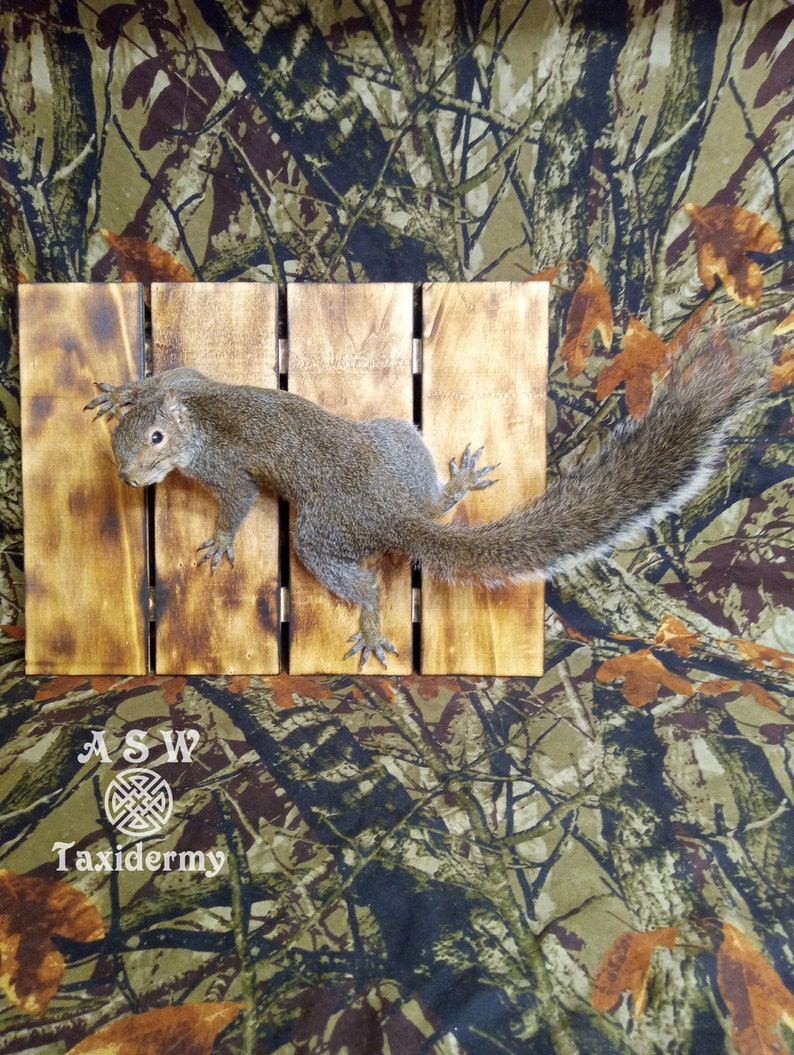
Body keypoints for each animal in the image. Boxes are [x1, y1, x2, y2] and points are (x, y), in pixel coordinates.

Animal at [86, 336, 755, 668]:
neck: (196, 417)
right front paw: (121, 391)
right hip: (398, 441)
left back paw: (370, 624)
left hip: (318, 537)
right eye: (118, 443)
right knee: (430, 505)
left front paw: (222, 540)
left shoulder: (223, 467)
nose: (128, 480)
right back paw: (450, 492)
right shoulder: (187, 379)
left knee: (362, 584)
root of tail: (393, 511)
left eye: (156, 440)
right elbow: (168, 371)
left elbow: (235, 501)